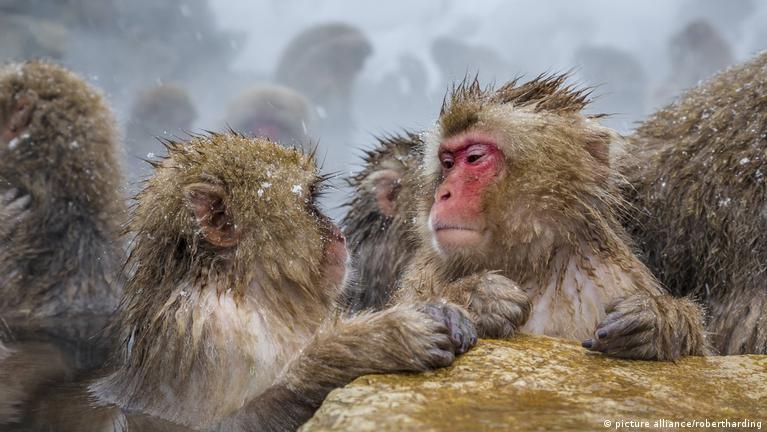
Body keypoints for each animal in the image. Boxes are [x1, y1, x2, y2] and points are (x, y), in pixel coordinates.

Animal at [389, 75, 710, 361]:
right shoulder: (423, 273)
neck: (530, 260)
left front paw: (659, 319)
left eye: (474, 158)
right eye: (447, 163)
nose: (443, 194)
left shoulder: (616, 276)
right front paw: (477, 297)